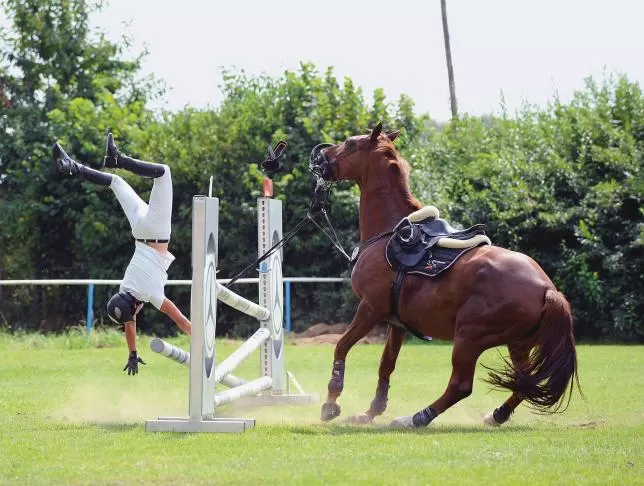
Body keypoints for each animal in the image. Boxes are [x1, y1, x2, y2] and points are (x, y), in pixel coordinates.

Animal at [310, 122, 580, 430]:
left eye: (350, 143)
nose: (320, 156)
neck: (388, 233)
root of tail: (547, 289)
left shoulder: (369, 309)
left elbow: (341, 347)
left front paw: (331, 404)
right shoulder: (396, 324)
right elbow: (386, 365)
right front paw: (370, 412)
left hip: (468, 338)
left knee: (461, 385)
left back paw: (415, 418)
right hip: (517, 343)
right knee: (523, 383)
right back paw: (496, 415)